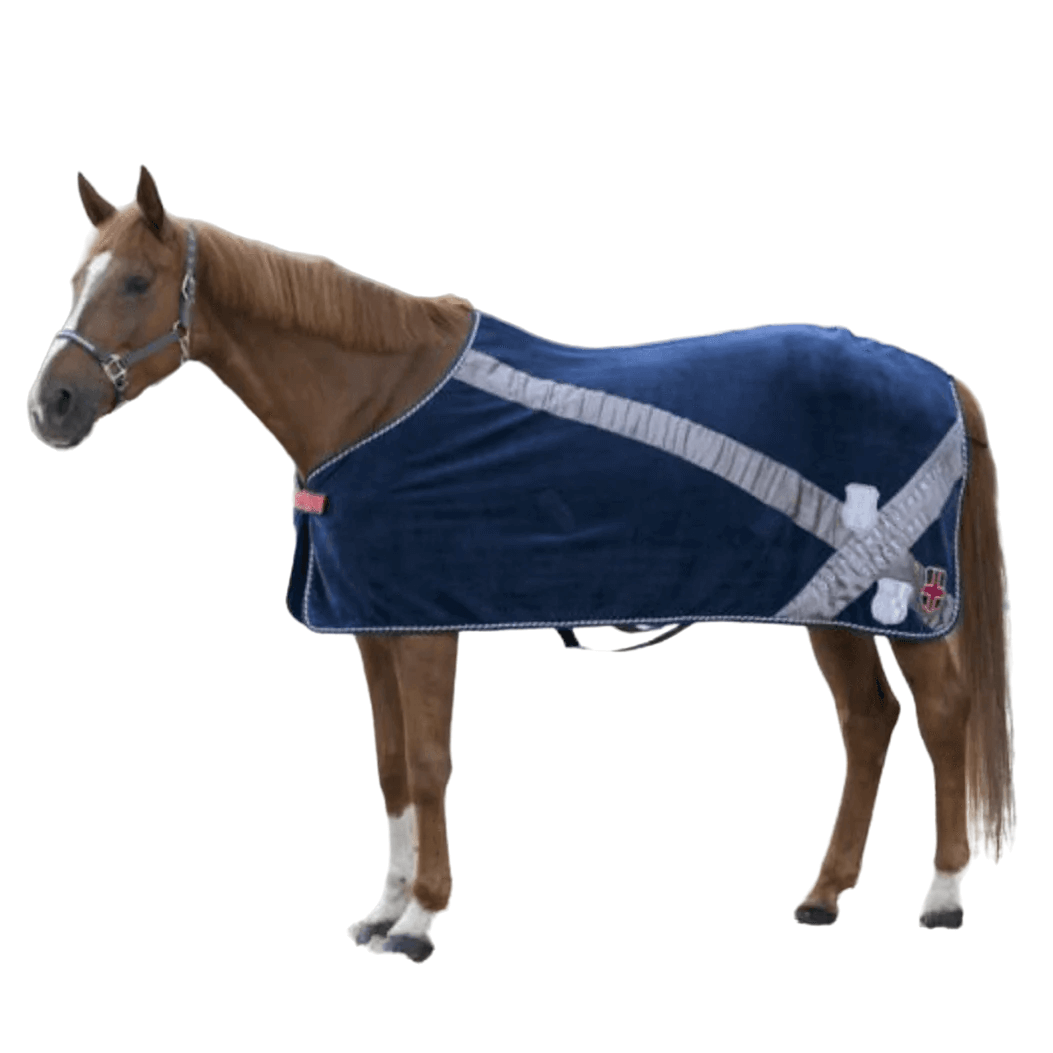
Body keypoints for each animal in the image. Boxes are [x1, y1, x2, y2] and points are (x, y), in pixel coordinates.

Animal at [28, 168, 1014, 963]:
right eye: (78, 279)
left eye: (137, 281)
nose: (51, 404)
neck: (373, 401)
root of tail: (933, 374)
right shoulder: (376, 624)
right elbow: (390, 763)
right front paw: (382, 907)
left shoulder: (426, 625)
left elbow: (429, 761)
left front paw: (420, 920)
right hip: (827, 605)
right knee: (866, 720)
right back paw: (823, 893)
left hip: (905, 606)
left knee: (940, 717)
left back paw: (941, 895)